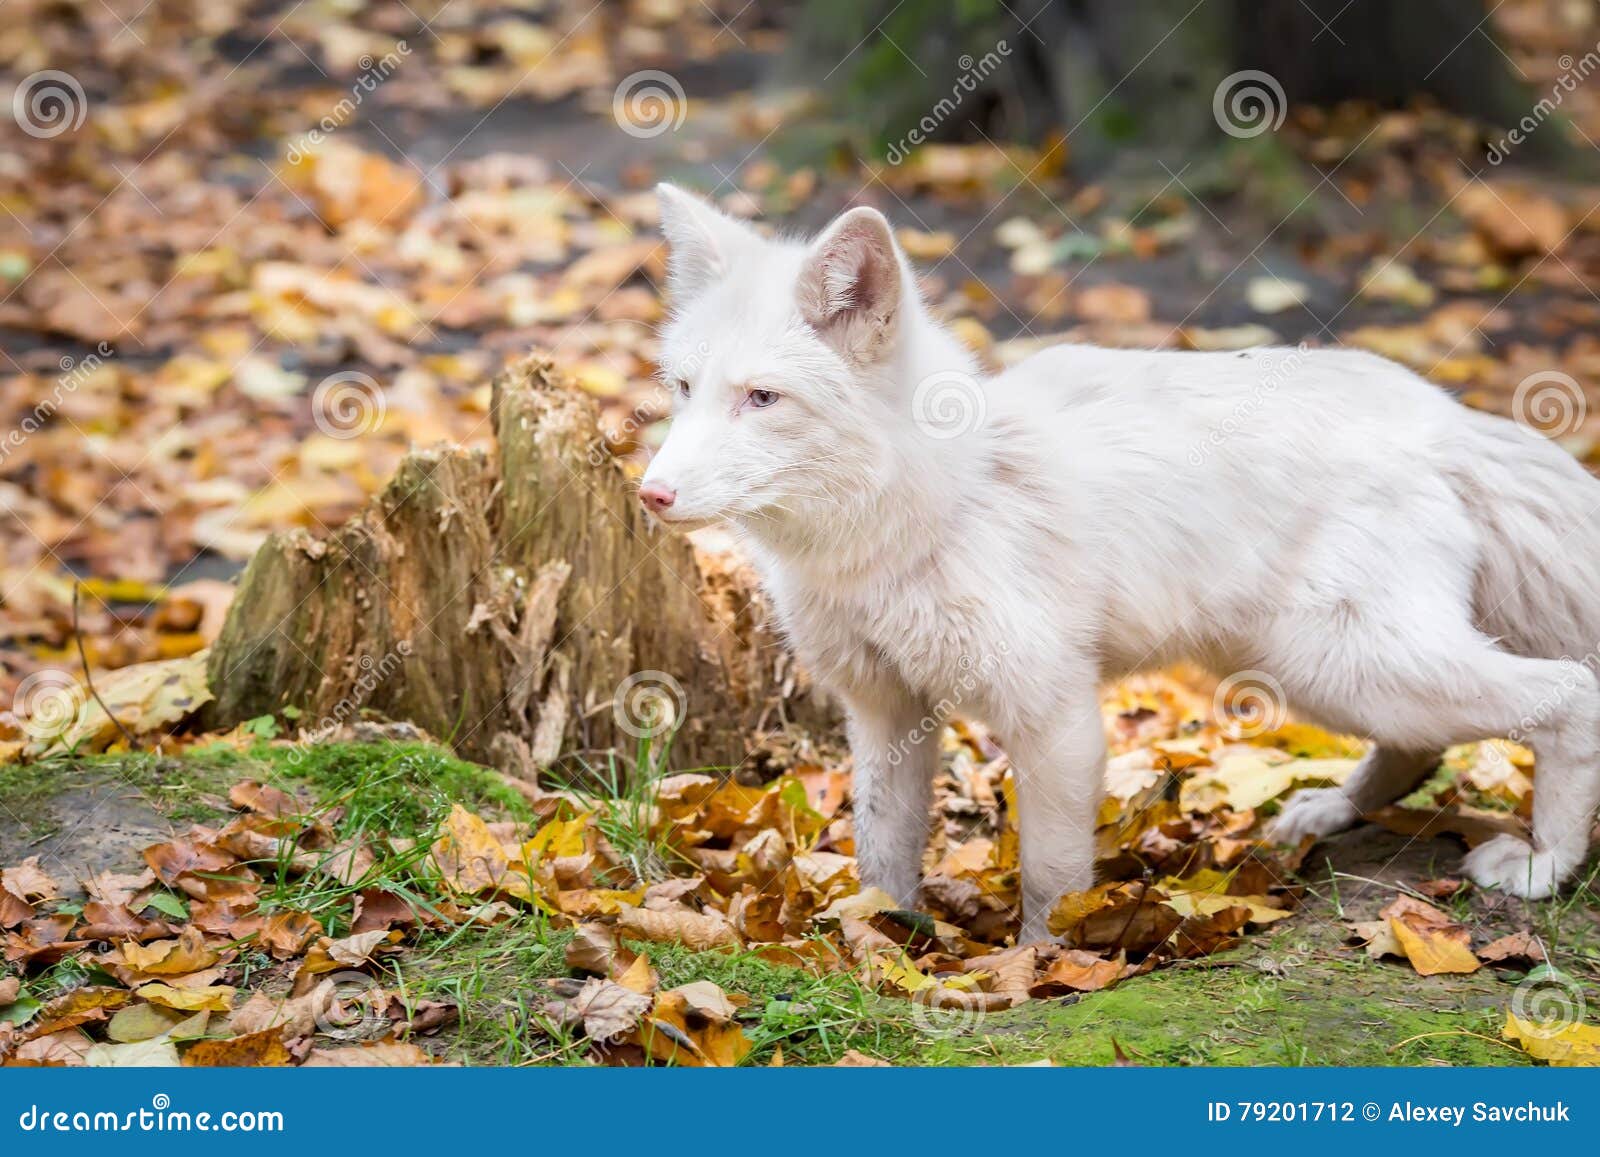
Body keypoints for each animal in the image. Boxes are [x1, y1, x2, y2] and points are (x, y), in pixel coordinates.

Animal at [640, 182, 1600, 942]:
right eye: (684, 389)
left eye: (763, 398)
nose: (651, 493)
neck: (931, 506)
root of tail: (1446, 416)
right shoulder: (885, 710)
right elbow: (882, 849)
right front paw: (880, 941)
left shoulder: (1055, 714)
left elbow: (1051, 880)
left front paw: (1037, 968)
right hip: (1324, 669)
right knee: (1422, 745)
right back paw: (1332, 811)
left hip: (1344, 664)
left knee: (1568, 694)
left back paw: (1544, 863)